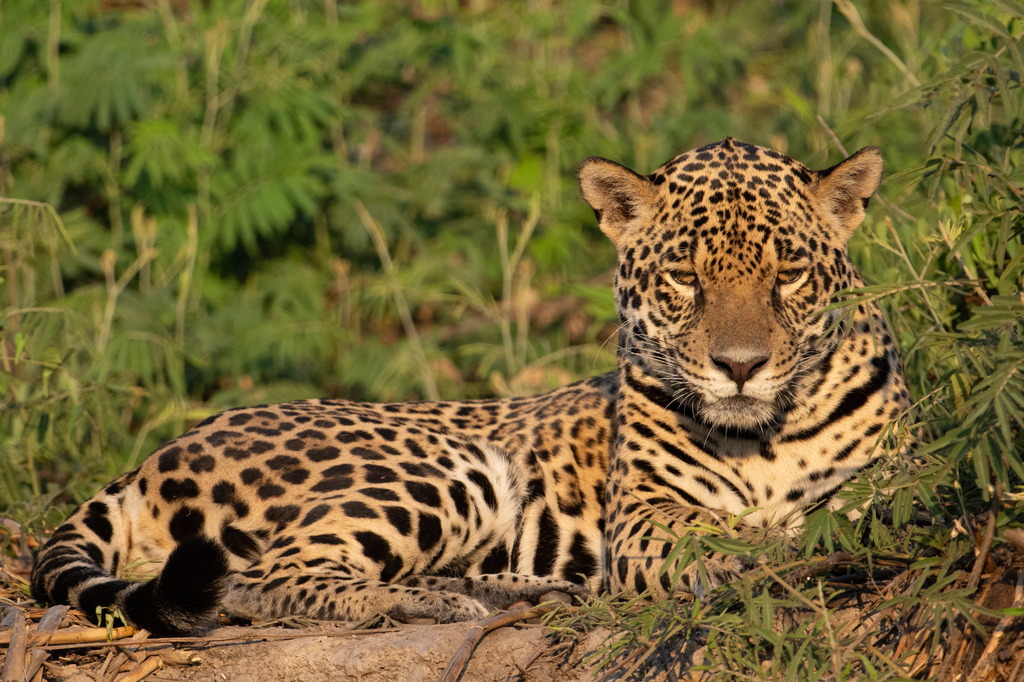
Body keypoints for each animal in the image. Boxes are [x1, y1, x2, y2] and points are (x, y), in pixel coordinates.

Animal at [31, 138, 910, 636]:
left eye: (788, 274)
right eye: (685, 280)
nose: (740, 365)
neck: (762, 434)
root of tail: (152, 457)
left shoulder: (892, 477)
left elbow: (861, 511)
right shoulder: (644, 515)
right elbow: (713, 535)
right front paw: (766, 546)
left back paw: (520, 593)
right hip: (440, 469)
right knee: (263, 580)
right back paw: (430, 605)